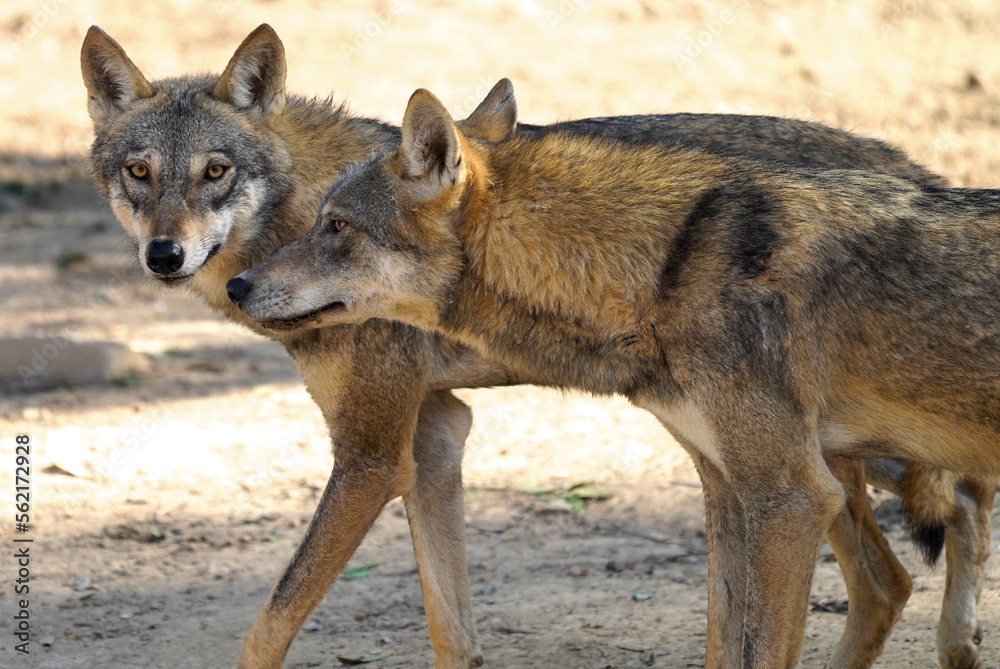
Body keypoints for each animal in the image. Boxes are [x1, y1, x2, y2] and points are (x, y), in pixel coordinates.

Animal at [81, 24, 988, 668]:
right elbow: (450, 628)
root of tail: (909, 162)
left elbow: (269, 625)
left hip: (833, 455)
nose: (166, 255)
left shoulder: (371, 455)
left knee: (904, 561)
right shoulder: (437, 433)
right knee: (942, 529)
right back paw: (962, 643)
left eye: (215, 172)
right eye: (138, 173)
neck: (296, 211)